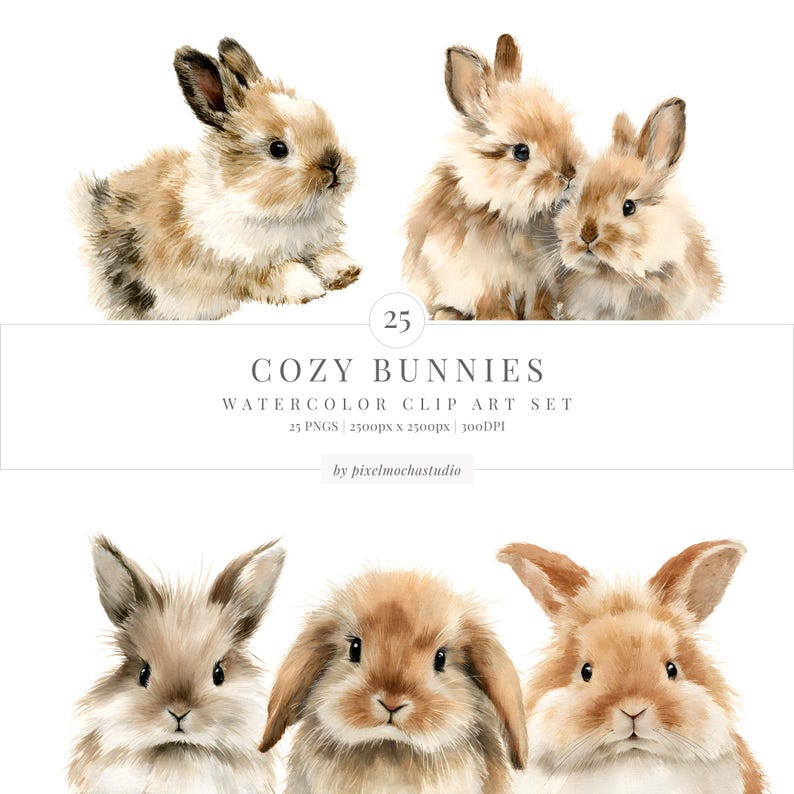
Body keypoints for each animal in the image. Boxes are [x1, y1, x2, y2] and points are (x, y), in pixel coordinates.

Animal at [71, 38, 359, 320]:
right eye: (278, 148)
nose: (333, 165)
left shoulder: (314, 244)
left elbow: (325, 253)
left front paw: (346, 272)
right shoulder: (235, 267)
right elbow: (278, 273)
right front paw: (308, 288)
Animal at [402, 34, 587, 321]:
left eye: (566, 129)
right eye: (521, 152)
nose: (569, 174)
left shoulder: (541, 281)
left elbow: (539, 306)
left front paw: (542, 320)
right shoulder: (487, 285)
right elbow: (497, 310)